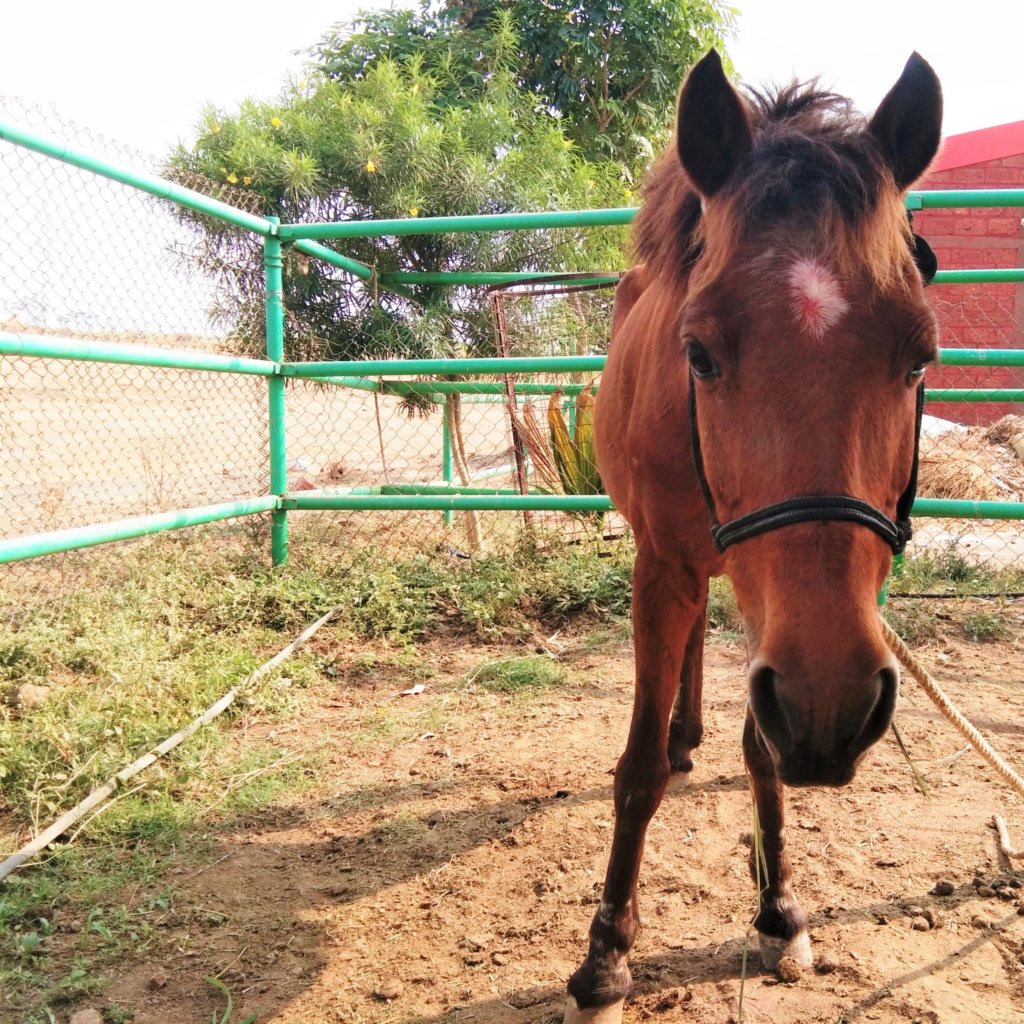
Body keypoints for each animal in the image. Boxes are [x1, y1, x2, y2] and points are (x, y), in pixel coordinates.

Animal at [566, 51, 942, 1023]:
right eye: (698, 352)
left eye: (920, 355)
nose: (832, 710)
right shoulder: (663, 569)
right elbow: (635, 774)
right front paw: (606, 951)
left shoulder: (785, 605)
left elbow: (762, 751)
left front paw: (779, 907)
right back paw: (679, 732)